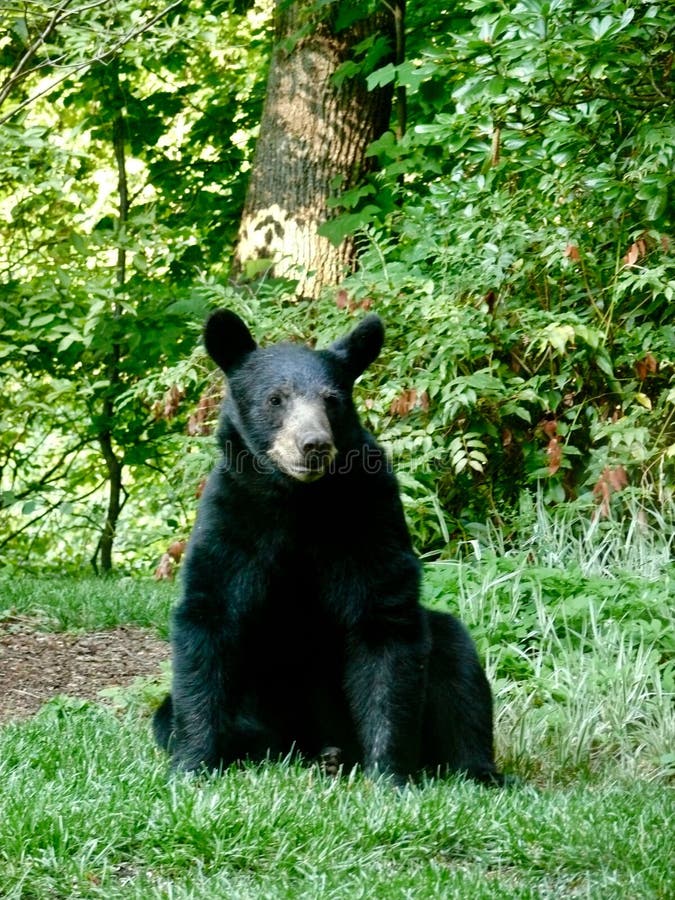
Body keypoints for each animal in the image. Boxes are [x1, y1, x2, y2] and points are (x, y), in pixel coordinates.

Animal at [153, 309, 503, 787]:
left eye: (332, 399)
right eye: (275, 399)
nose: (313, 445)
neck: (299, 500)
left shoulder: (371, 514)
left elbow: (385, 622)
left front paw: (390, 775)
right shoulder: (232, 515)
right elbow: (209, 616)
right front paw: (193, 765)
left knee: (457, 664)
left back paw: (476, 772)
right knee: (168, 716)